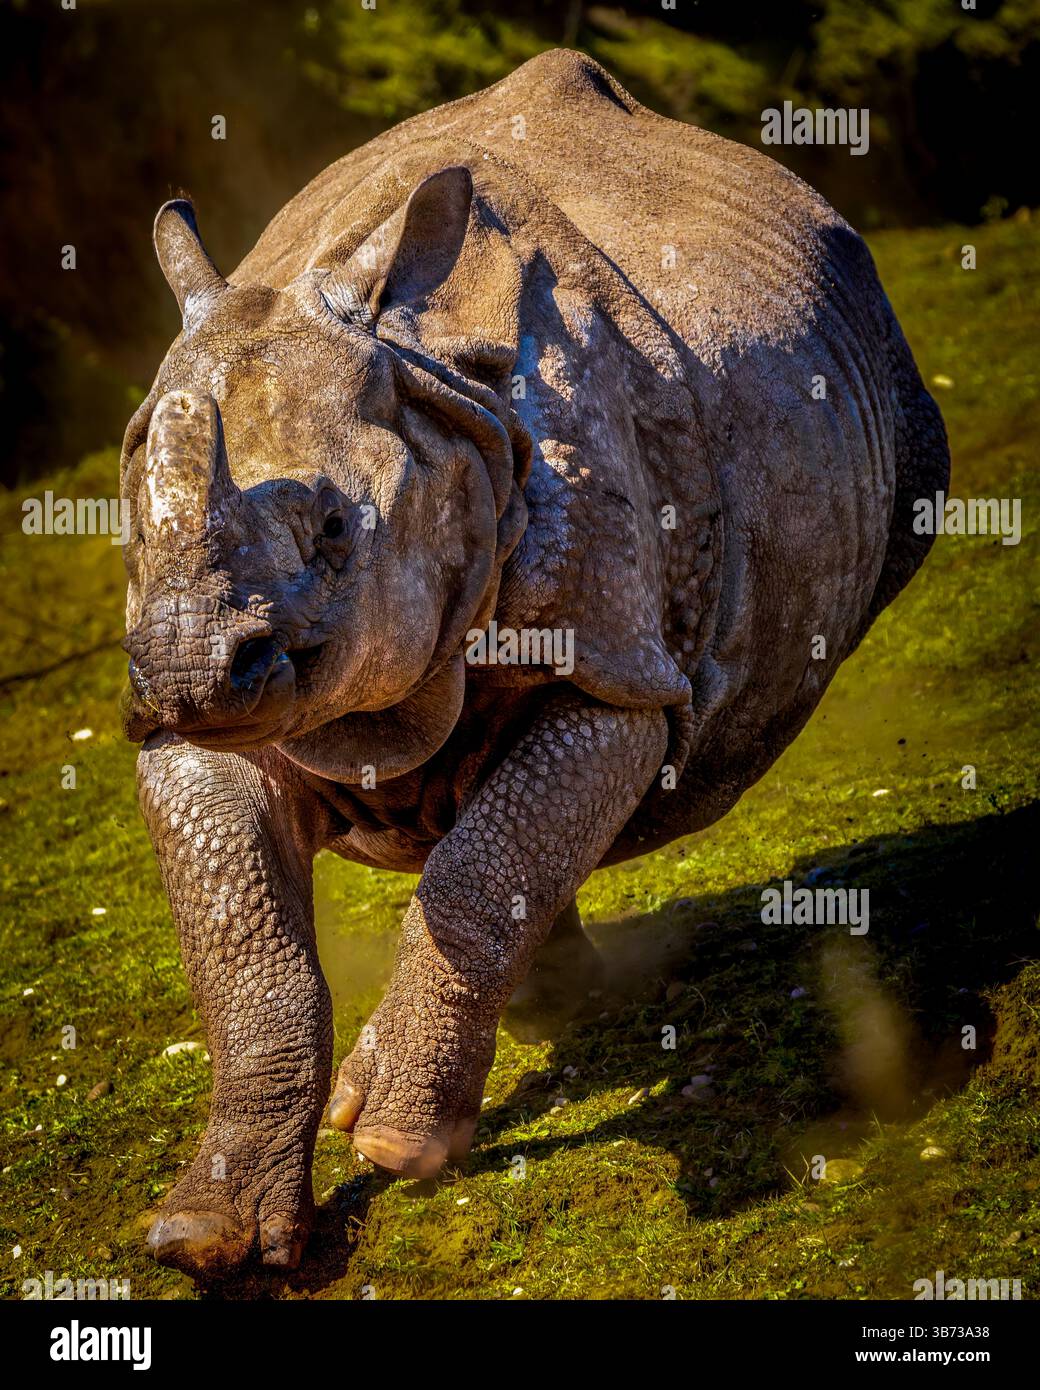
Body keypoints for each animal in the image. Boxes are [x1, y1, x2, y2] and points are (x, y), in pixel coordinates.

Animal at [120, 49, 949, 1278]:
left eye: (335, 530)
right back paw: (547, 1012)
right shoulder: (195, 730)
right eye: (136, 534)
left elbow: (490, 858)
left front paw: (398, 1143)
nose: (185, 670)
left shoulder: (609, 663)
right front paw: (201, 1235)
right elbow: (247, 951)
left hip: (873, 366)